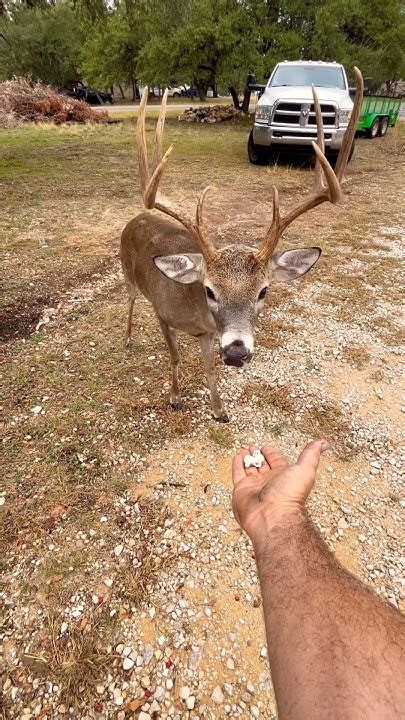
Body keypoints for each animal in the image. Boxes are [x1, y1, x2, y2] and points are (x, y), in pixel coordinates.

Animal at [121, 69, 363, 423]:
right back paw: (127, 338)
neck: (195, 314)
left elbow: (209, 368)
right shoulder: (163, 314)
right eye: (209, 290)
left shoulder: (209, 334)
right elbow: (176, 357)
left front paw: (219, 410)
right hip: (128, 274)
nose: (236, 352)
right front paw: (175, 397)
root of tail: (136, 218)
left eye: (263, 291)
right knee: (129, 300)